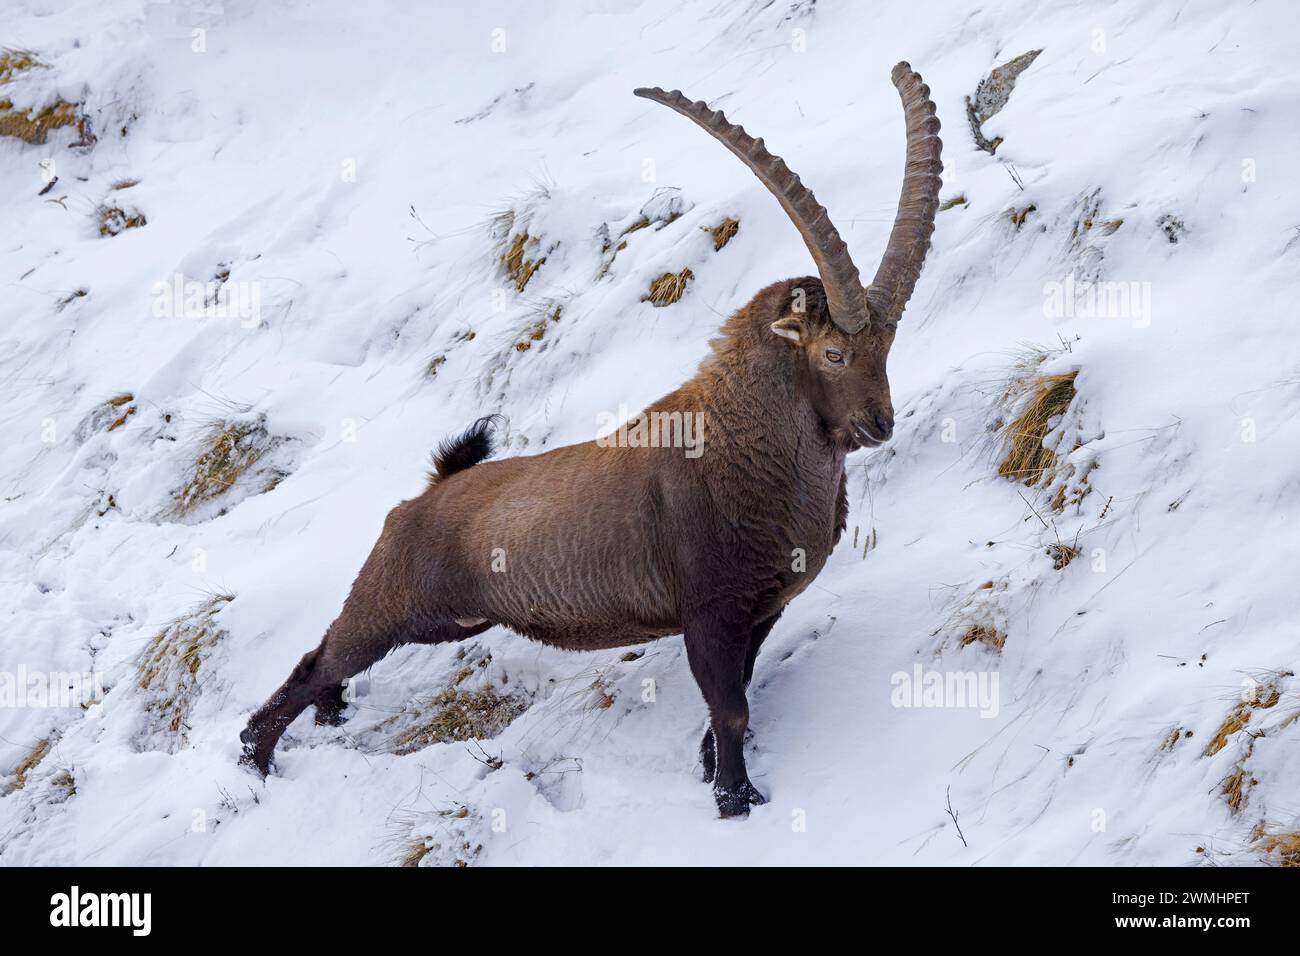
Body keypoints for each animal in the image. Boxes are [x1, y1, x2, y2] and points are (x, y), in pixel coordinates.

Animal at [241, 63, 942, 817]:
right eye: (834, 355)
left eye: (885, 347)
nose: (878, 424)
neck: (745, 444)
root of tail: (422, 499)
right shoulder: (708, 612)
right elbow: (731, 709)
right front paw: (735, 800)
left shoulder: (760, 611)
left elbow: (735, 701)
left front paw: (711, 772)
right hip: (396, 606)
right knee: (316, 662)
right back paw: (255, 760)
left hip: (450, 620)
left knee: (324, 662)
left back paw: (327, 715)